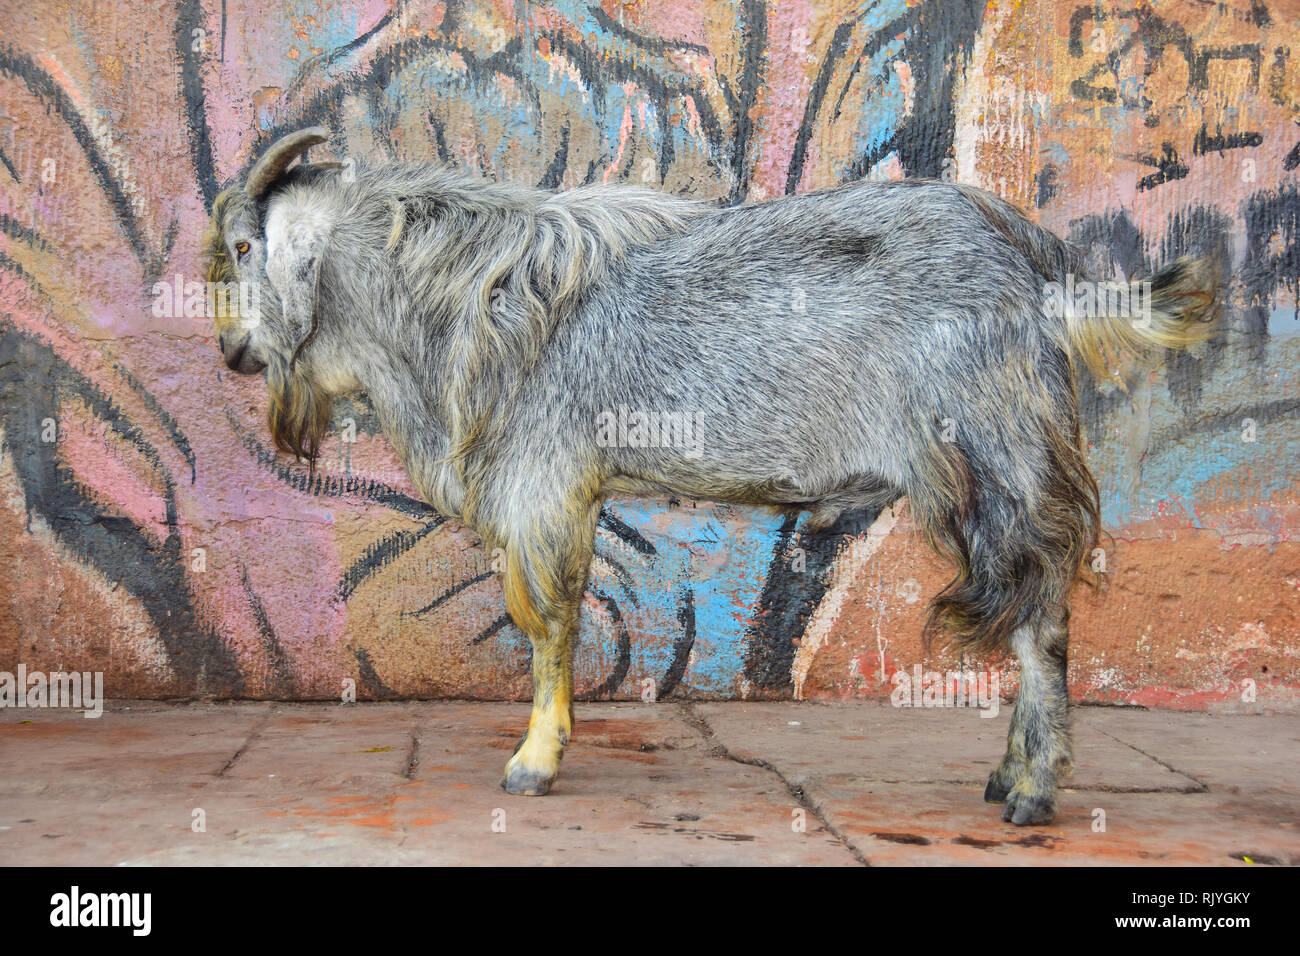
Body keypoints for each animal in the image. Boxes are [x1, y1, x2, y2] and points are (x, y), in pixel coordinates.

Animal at [204, 128, 1217, 825]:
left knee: (1041, 612)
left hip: (998, 450)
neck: (464, 295)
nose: (232, 352)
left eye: (249, 249)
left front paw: (535, 763)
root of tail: (1034, 262)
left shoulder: (543, 480)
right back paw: (1008, 774)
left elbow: (547, 621)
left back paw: (1033, 791)